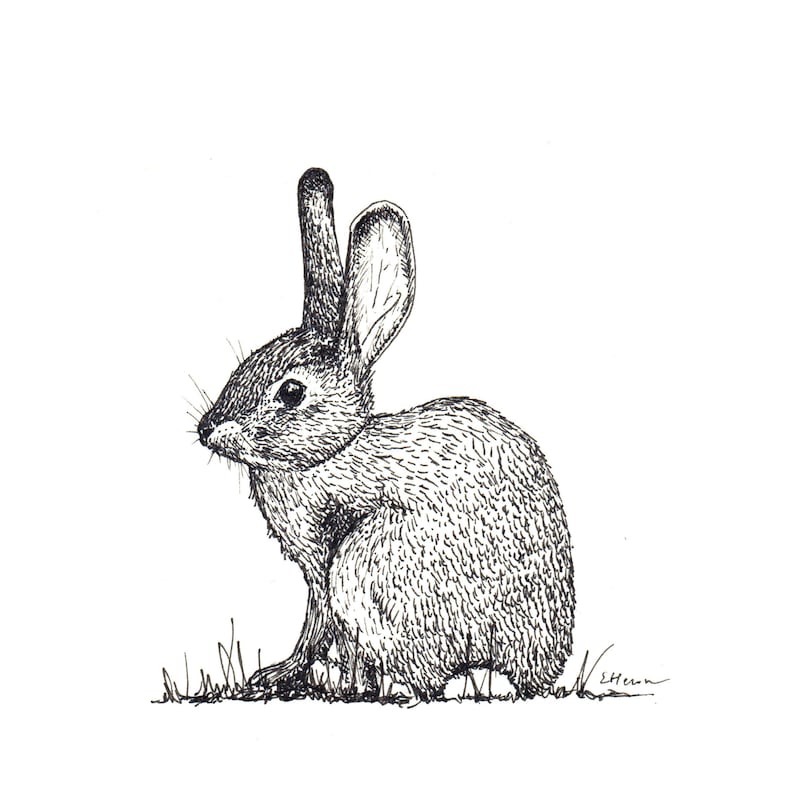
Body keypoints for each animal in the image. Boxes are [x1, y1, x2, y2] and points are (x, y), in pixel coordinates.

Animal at [197, 168, 574, 700]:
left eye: (291, 391)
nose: (207, 430)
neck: (333, 451)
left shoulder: (326, 560)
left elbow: (319, 626)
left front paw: (283, 676)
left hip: (367, 565)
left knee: (426, 679)